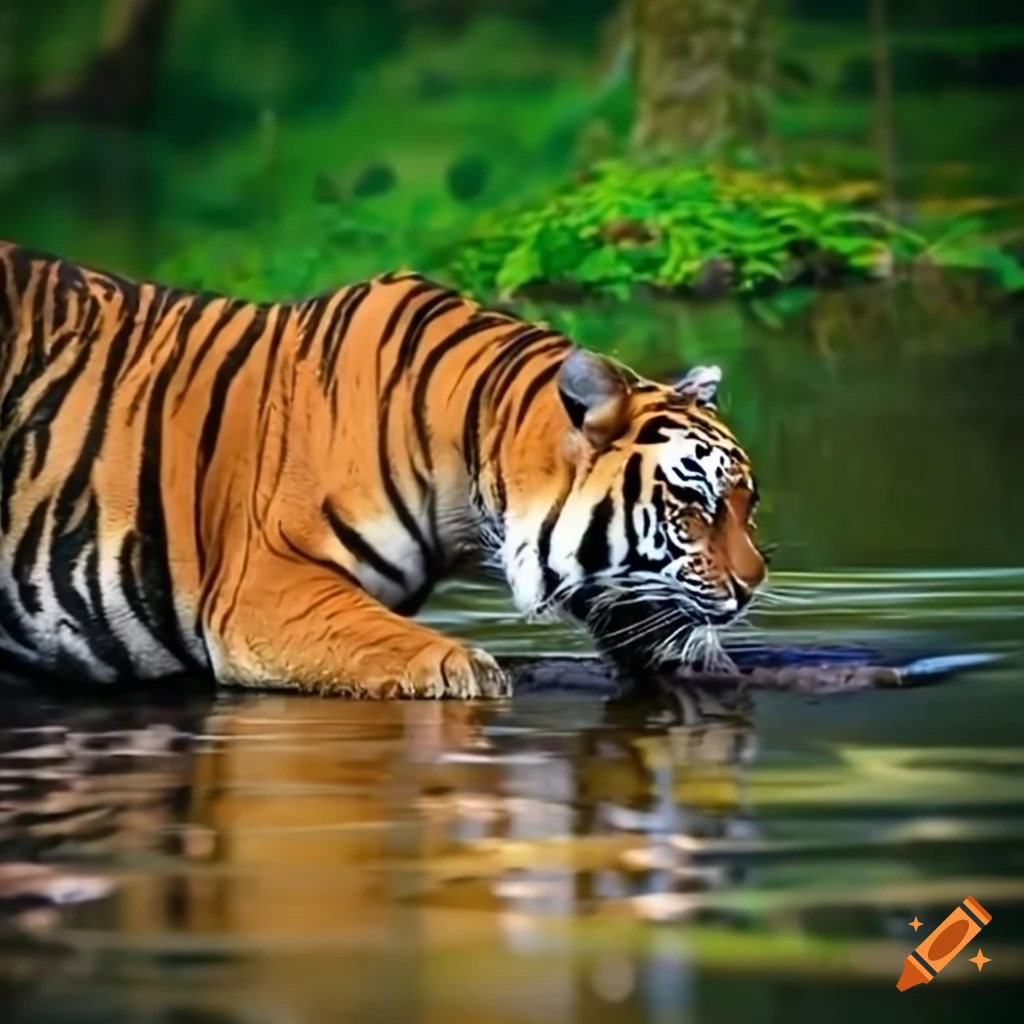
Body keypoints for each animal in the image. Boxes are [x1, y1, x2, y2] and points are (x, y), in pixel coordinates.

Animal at [0, 239, 766, 697]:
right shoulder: (267, 585)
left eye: (746, 505)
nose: (754, 586)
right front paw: (473, 674)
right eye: (692, 507)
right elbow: (416, 652)